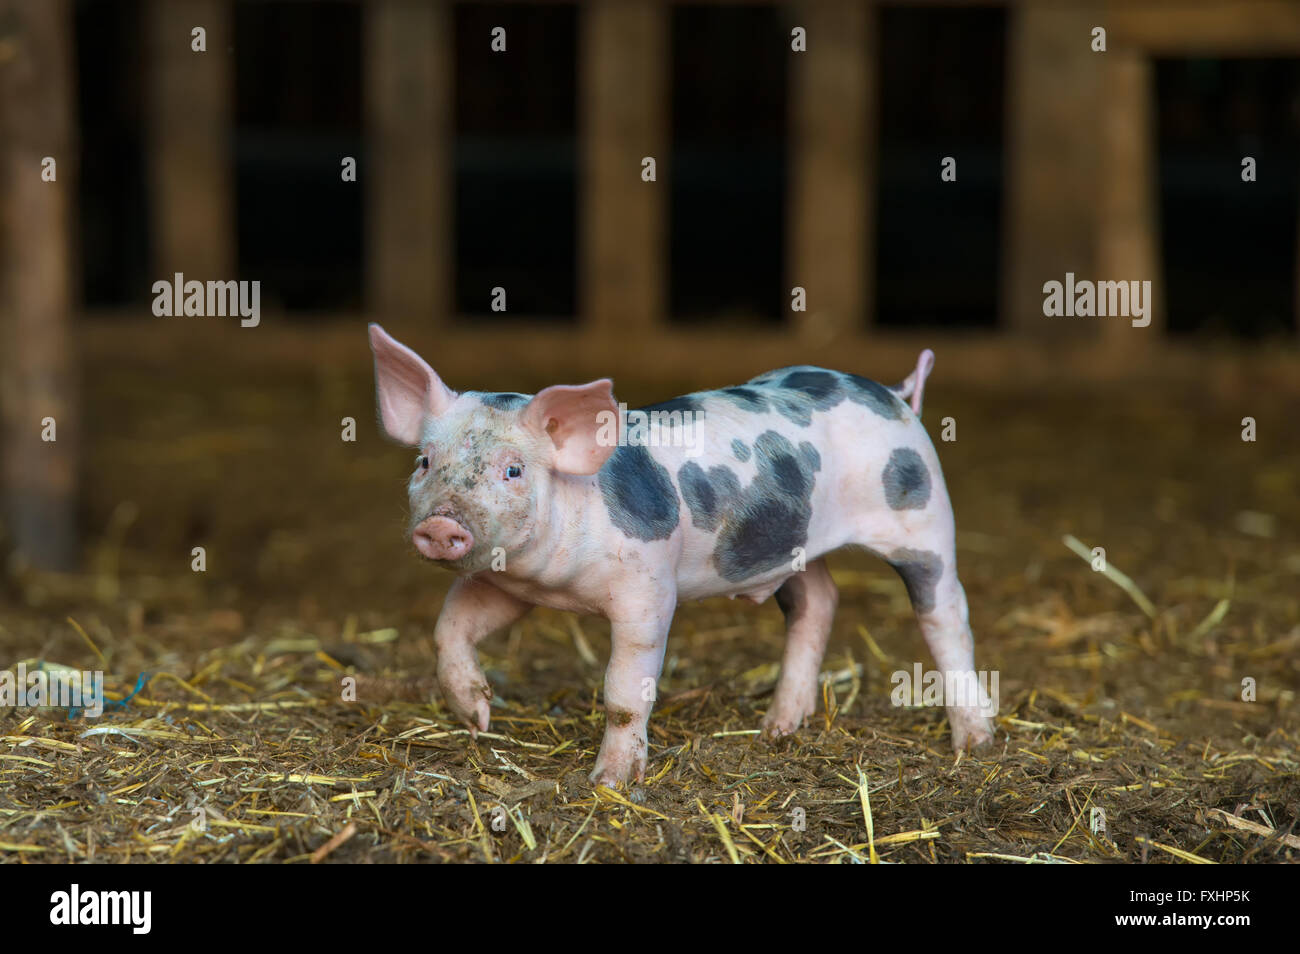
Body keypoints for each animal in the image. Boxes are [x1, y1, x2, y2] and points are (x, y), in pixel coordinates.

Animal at [368, 324, 995, 787]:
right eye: (424, 461)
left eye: (514, 470)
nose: (441, 525)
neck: (556, 580)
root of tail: (896, 395)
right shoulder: (509, 585)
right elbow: (450, 627)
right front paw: (477, 716)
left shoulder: (649, 591)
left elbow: (625, 690)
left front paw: (610, 783)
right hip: (788, 543)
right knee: (819, 601)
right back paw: (777, 730)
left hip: (923, 518)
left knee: (948, 616)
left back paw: (974, 743)